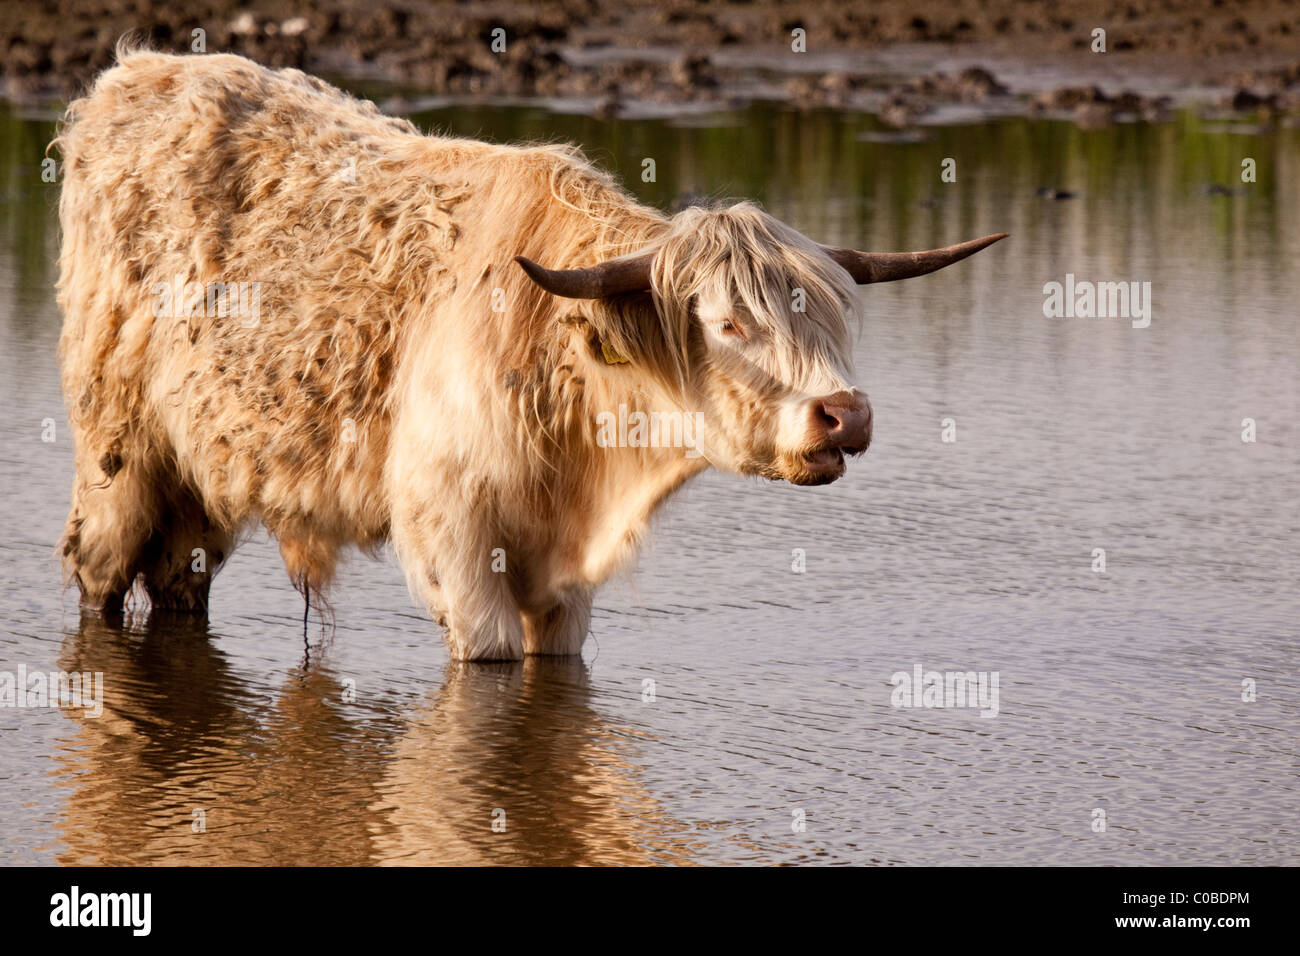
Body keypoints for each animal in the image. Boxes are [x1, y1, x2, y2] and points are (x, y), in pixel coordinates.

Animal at [53, 48, 1005, 661]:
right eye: (729, 324)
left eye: (830, 322)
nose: (847, 415)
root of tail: (141, 71)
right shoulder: (455, 543)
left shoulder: (566, 590)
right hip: (116, 455)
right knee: (98, 576)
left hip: (201, 476)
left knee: (177, 582)